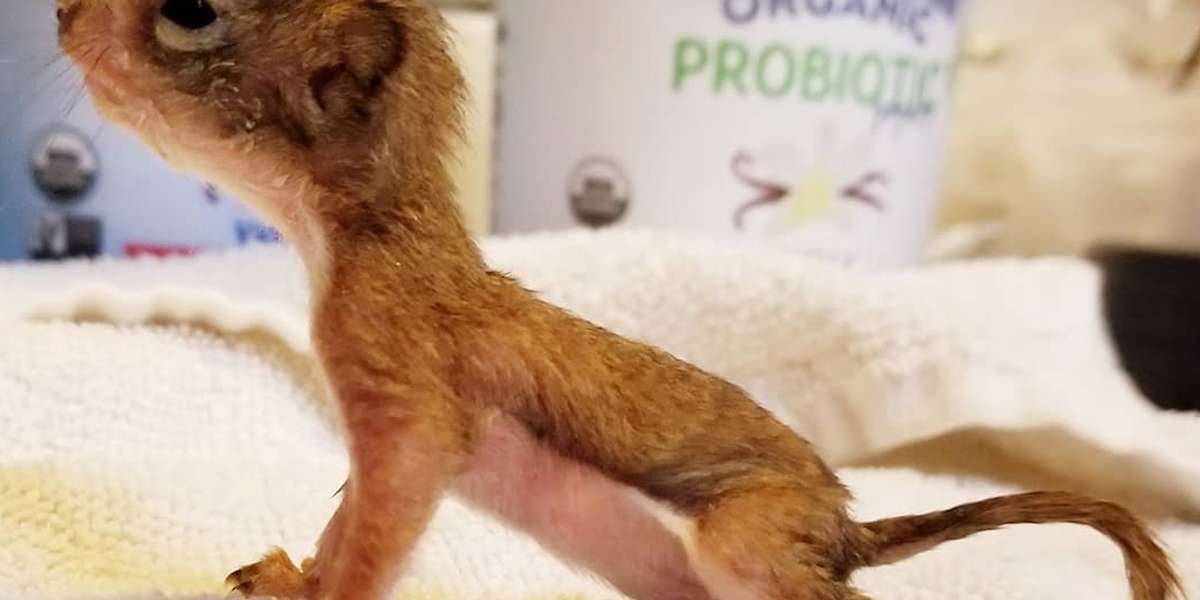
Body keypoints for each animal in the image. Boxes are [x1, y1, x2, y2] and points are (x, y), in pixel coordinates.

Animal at [57, 1, 1182, 599]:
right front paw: (288, 575)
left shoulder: (408, 400)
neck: (351, 238)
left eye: (192, 8)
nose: (61, 13)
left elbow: (380, 527)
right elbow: (348, 518)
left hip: (744, 545)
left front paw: (322, 588)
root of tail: (840, 533)